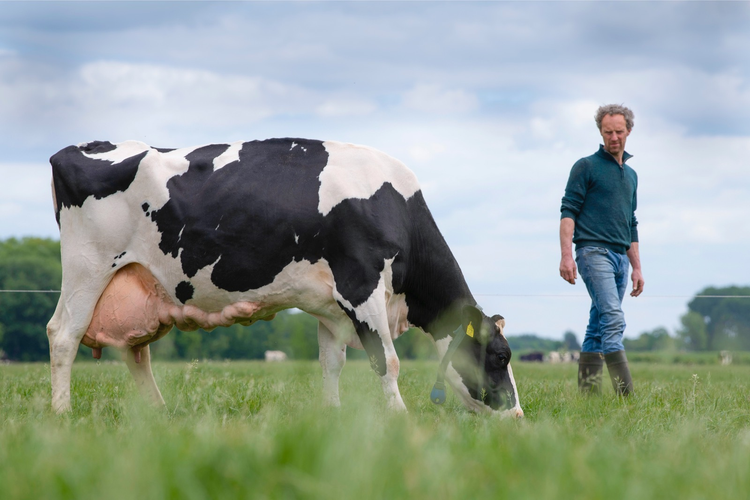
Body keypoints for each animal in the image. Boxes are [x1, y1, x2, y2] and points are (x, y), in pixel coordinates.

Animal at [47, 138, 523, 418]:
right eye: (500, 356)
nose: (518, 416)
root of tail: (79, 147)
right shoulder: (361, 287)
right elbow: (386, 360)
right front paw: (400, 419)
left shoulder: (332, 307)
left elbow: (333, 363)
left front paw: (332, 415)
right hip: (88, 268)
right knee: (63, 335)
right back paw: (62, 414)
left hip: (137, 283)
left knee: (135, 353)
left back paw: (159, 413)